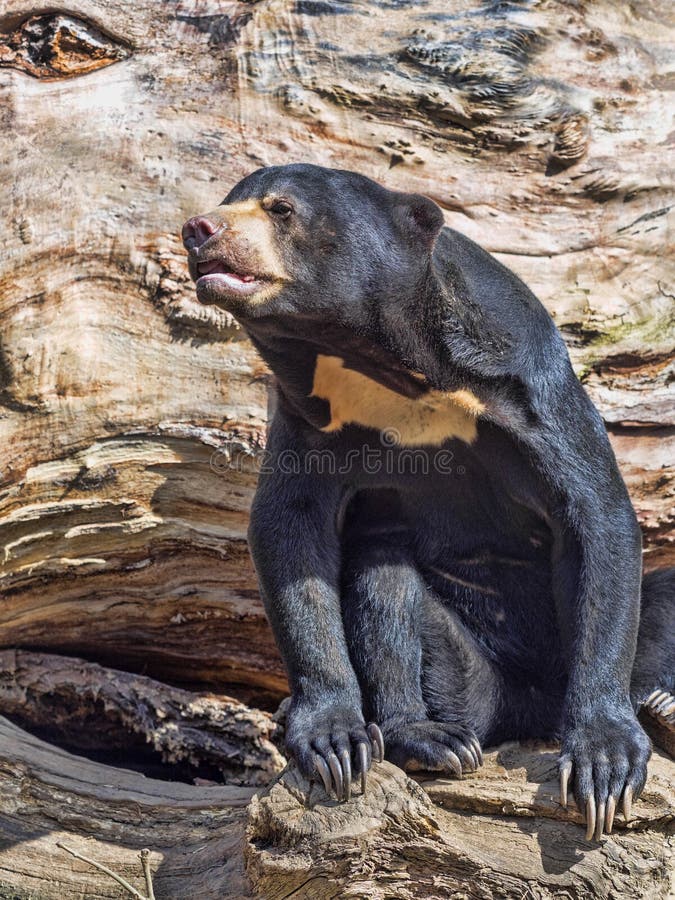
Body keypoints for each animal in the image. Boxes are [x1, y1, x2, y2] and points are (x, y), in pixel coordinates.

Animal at [182, 164, 674, 840]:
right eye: (231, 201)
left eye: (280, 209)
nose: (198, 229)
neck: (384, 367)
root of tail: (527, 711)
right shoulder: (310, 417)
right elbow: (289, 532)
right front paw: (330, 740)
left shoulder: (524, 383)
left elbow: (596, 516)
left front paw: (606, 764)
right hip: (466, 677)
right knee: (385, 579)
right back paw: (428, 739)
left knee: (663, 603)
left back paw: (660, 705)